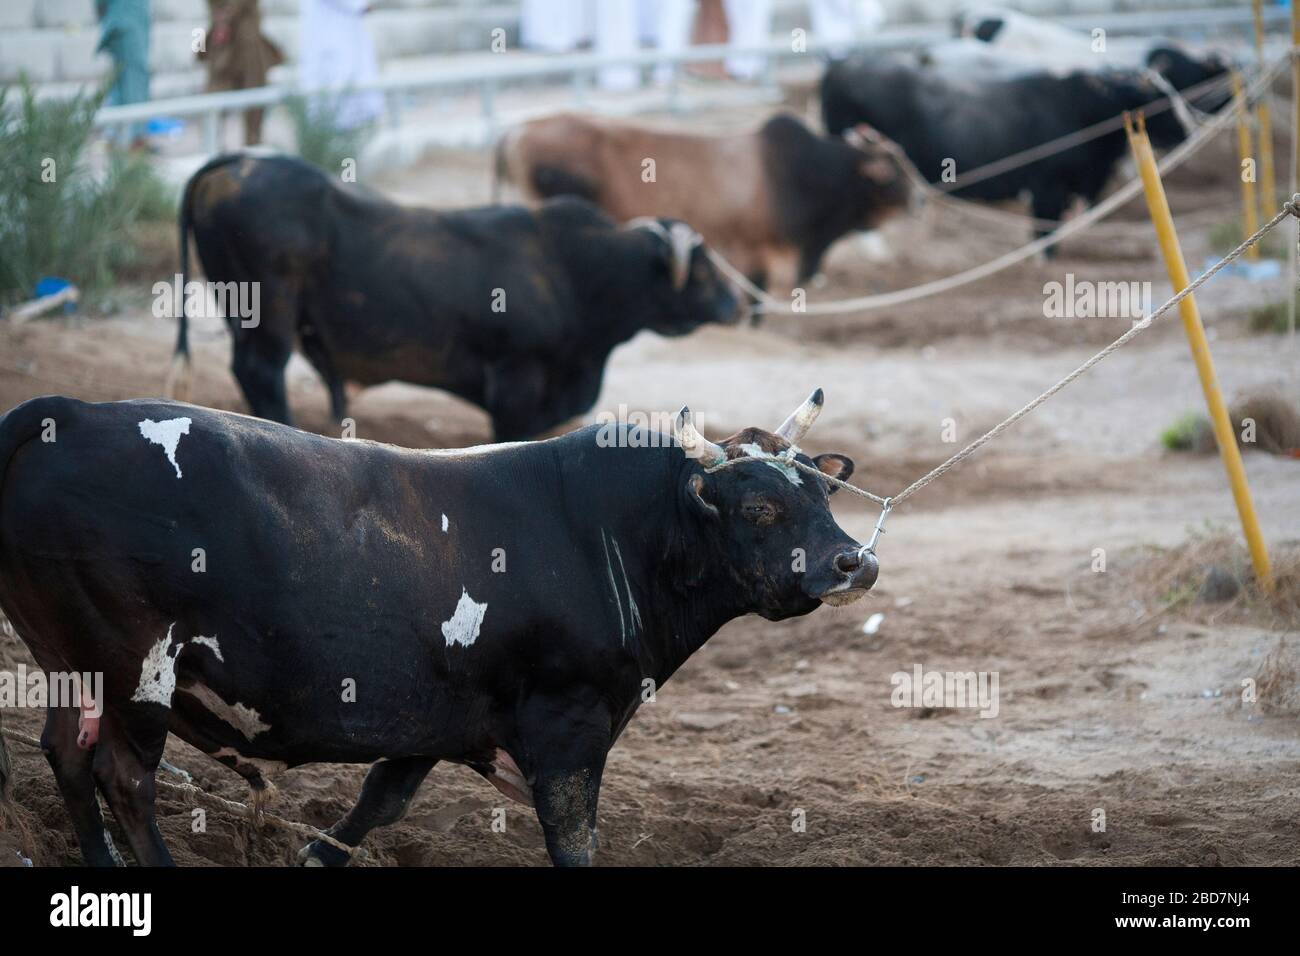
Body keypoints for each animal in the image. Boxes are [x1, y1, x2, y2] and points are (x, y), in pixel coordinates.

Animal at [0, 388, 879, 866]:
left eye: (822, 494)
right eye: (760, 507)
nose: (854, 563)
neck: (616, 530)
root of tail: (65, 413)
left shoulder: (434, 719)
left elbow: (377, 803)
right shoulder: (568, 723)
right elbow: (573, 837)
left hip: (71, 664)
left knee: (67, 757)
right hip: (134, 669)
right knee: (122, 776)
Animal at [165, 152, 742, 440]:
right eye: (703, 267)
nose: (739, 302)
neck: (575, 271)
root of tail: (236, 163)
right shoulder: (515, 378)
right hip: (269, 313)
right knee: (262, 371)